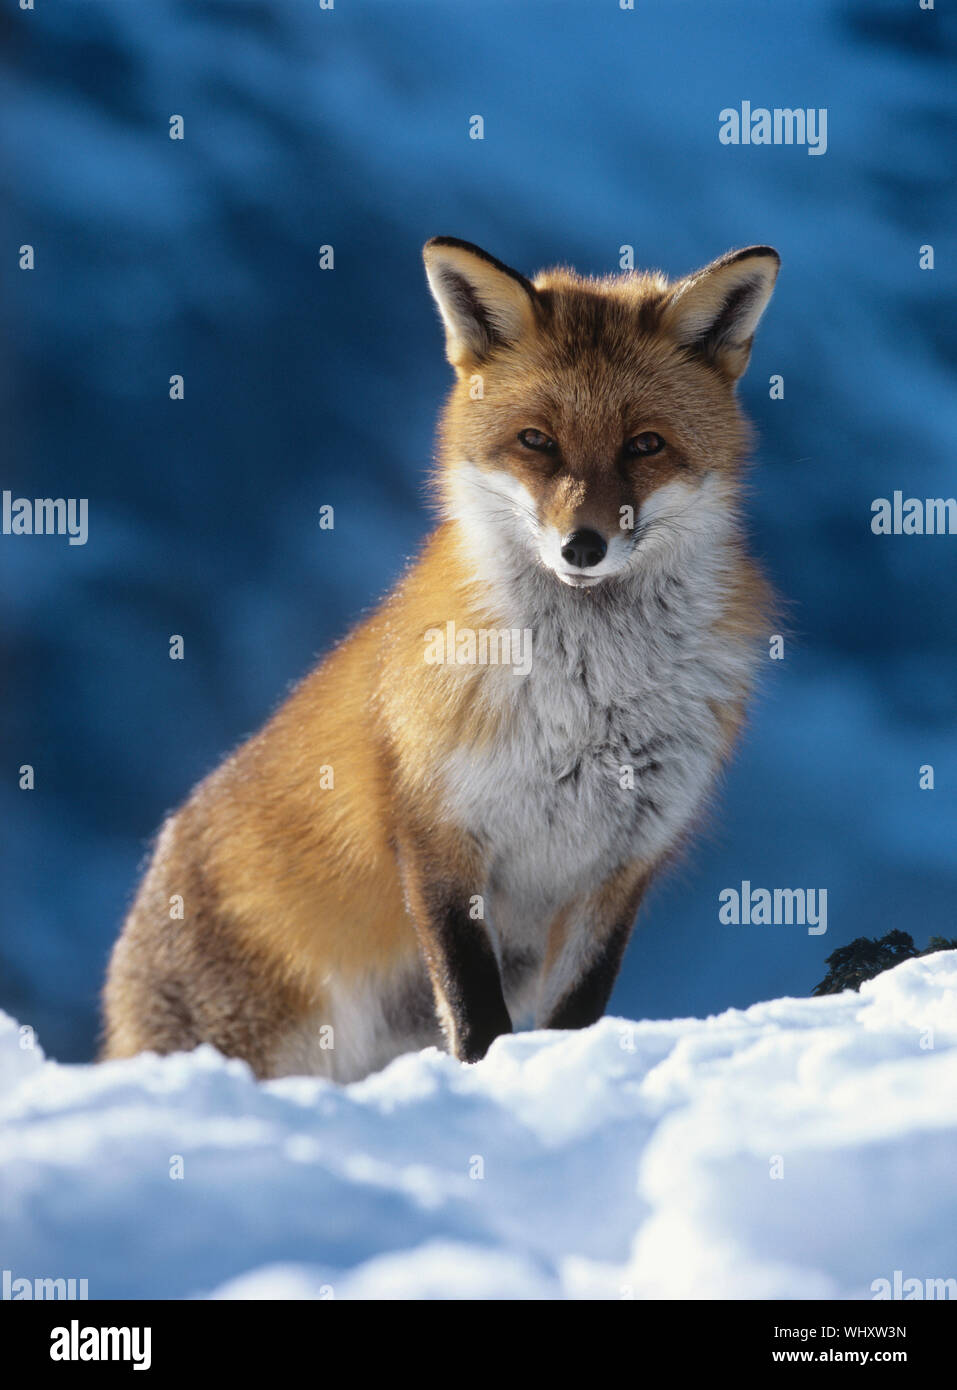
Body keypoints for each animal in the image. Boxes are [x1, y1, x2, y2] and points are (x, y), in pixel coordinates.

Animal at [102, 236, 780, 1082]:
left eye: (645, 445)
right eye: (536, 440)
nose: (581, 547)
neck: (588, 704)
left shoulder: (620, 868)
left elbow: (575, 1013)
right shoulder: (439, 841)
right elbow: (473, 1010)